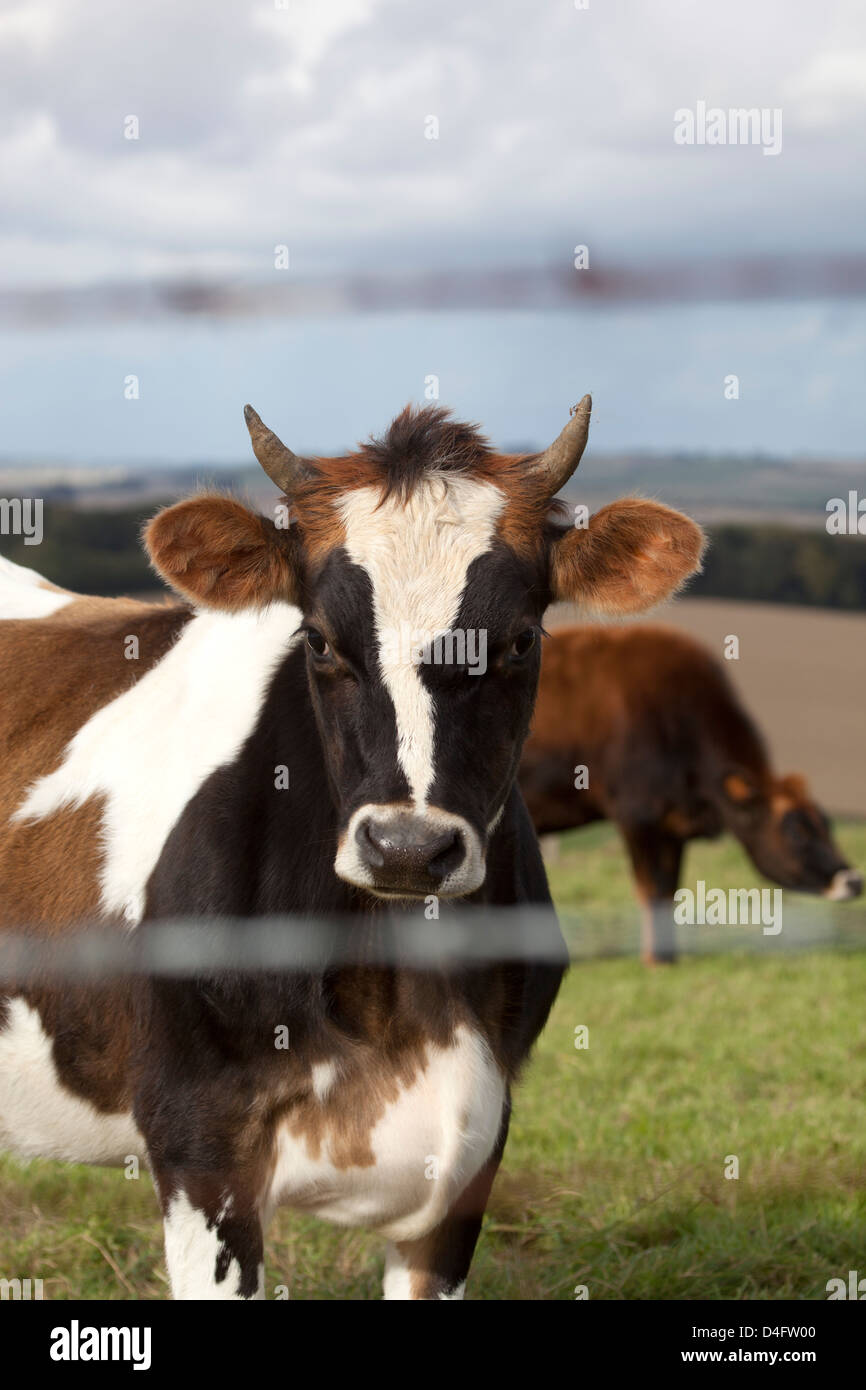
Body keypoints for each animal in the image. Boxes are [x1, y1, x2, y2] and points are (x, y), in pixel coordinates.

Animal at [520, 622, 862, 964]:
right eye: (797, 832)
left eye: (827, 825)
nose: (853, 880)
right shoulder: (636, 816)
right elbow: (651, 890)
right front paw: (654, 961)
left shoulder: (672, 826)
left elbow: (668, 892)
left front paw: (668, 958)